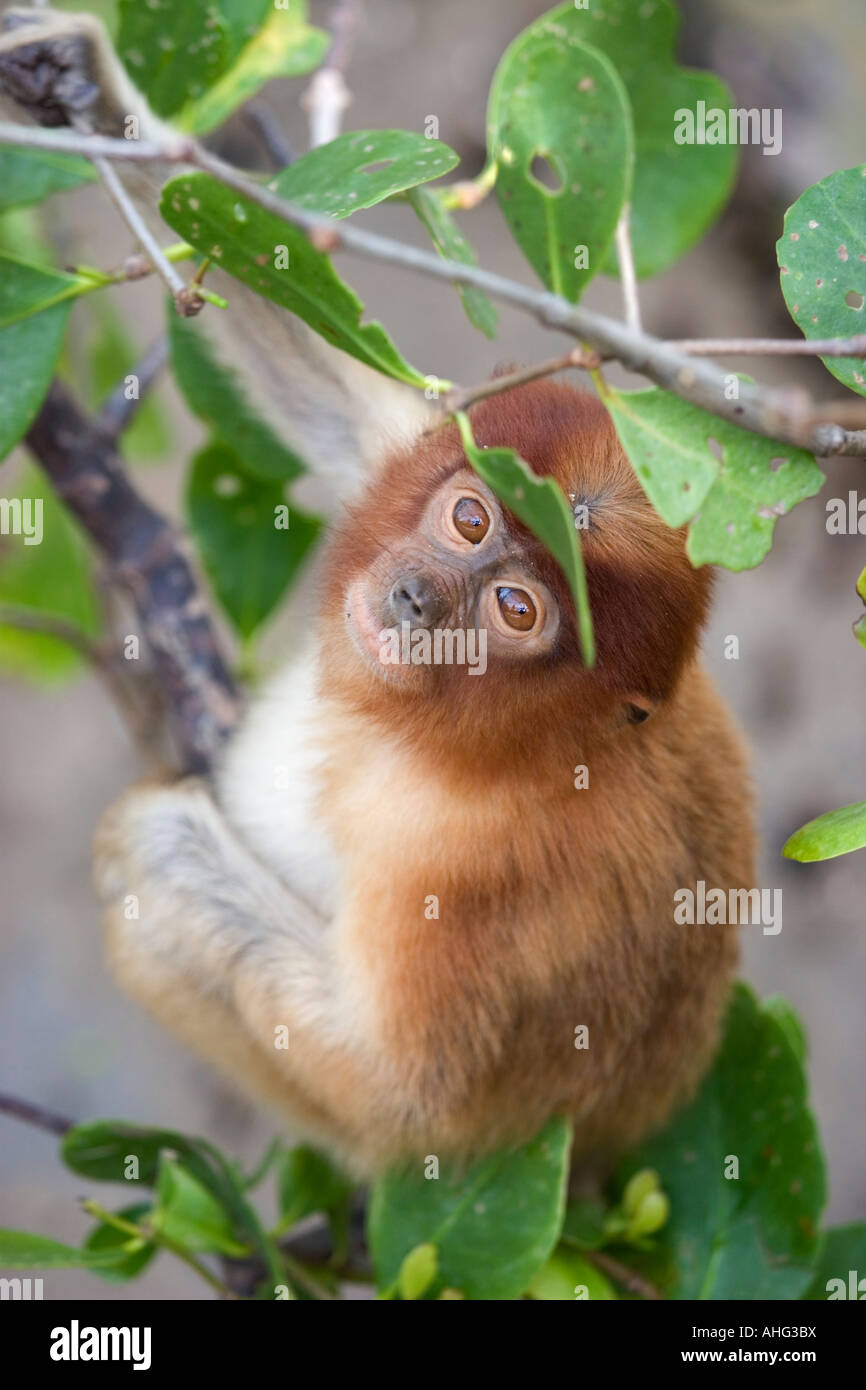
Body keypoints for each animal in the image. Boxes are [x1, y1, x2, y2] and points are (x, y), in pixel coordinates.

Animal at [0, 9, 755, 1178]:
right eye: (469, 519)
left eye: (517, 612)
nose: (409, 599)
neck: (482, 738)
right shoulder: (442, 428)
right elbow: (331, 379)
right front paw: (77, 84)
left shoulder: (493, 880)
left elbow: (399, 1100)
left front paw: (157, 839)